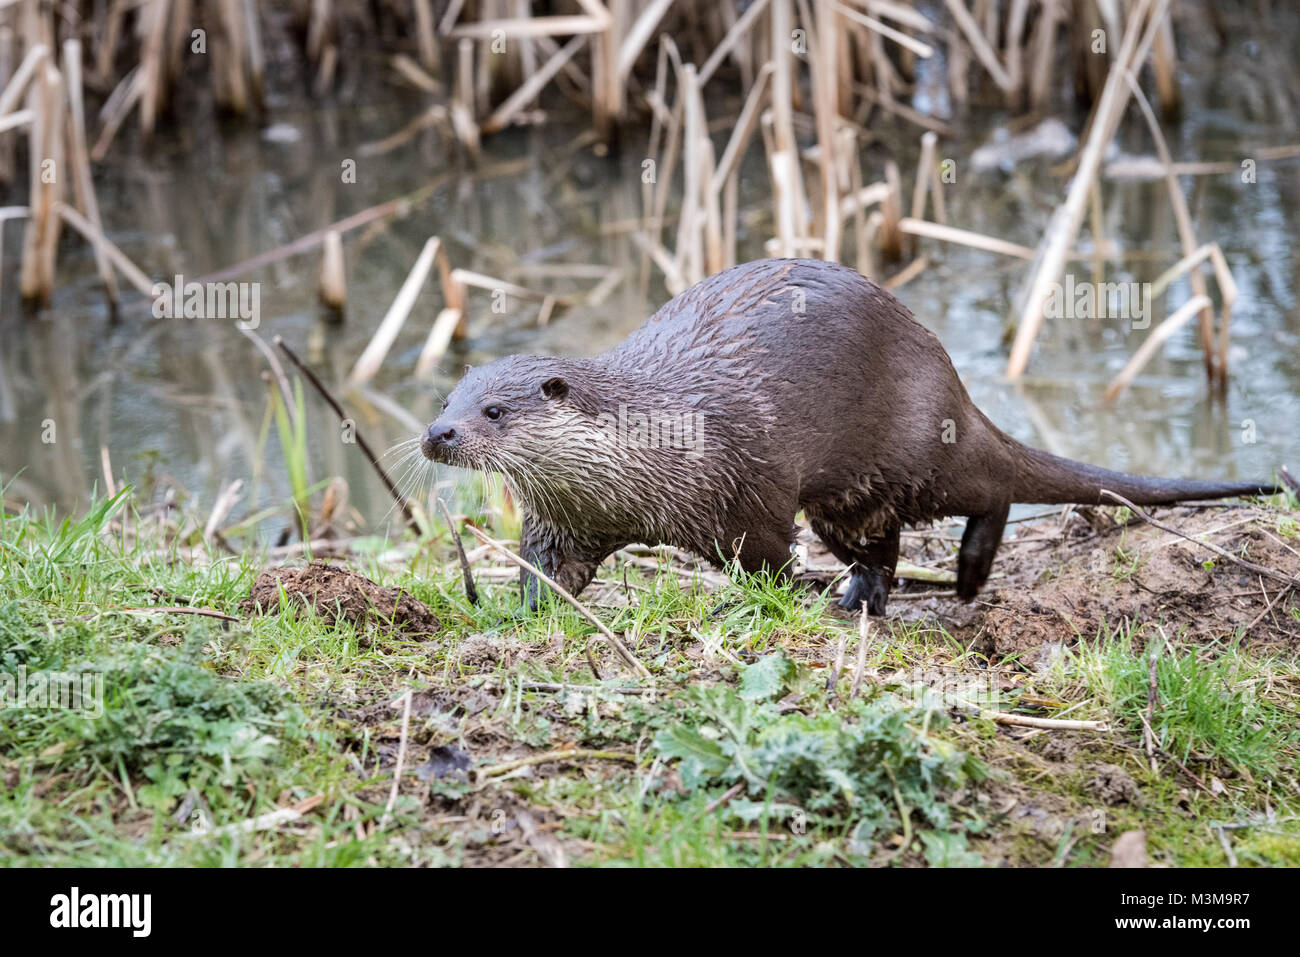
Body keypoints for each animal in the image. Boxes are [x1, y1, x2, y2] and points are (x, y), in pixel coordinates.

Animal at [421, 259, 1277, 615]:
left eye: (493, 411)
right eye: (448, 396)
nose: (437, 434)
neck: (650, 449)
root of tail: (954, 382)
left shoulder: (744, 489)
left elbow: (767, 556)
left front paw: (769, 601)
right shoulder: (568, 517)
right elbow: (545, 565)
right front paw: (527, 609)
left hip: (914, 449)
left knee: (990, 488)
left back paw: (965, 575)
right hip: (852, 499)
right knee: (883, 545)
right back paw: (863, 594)